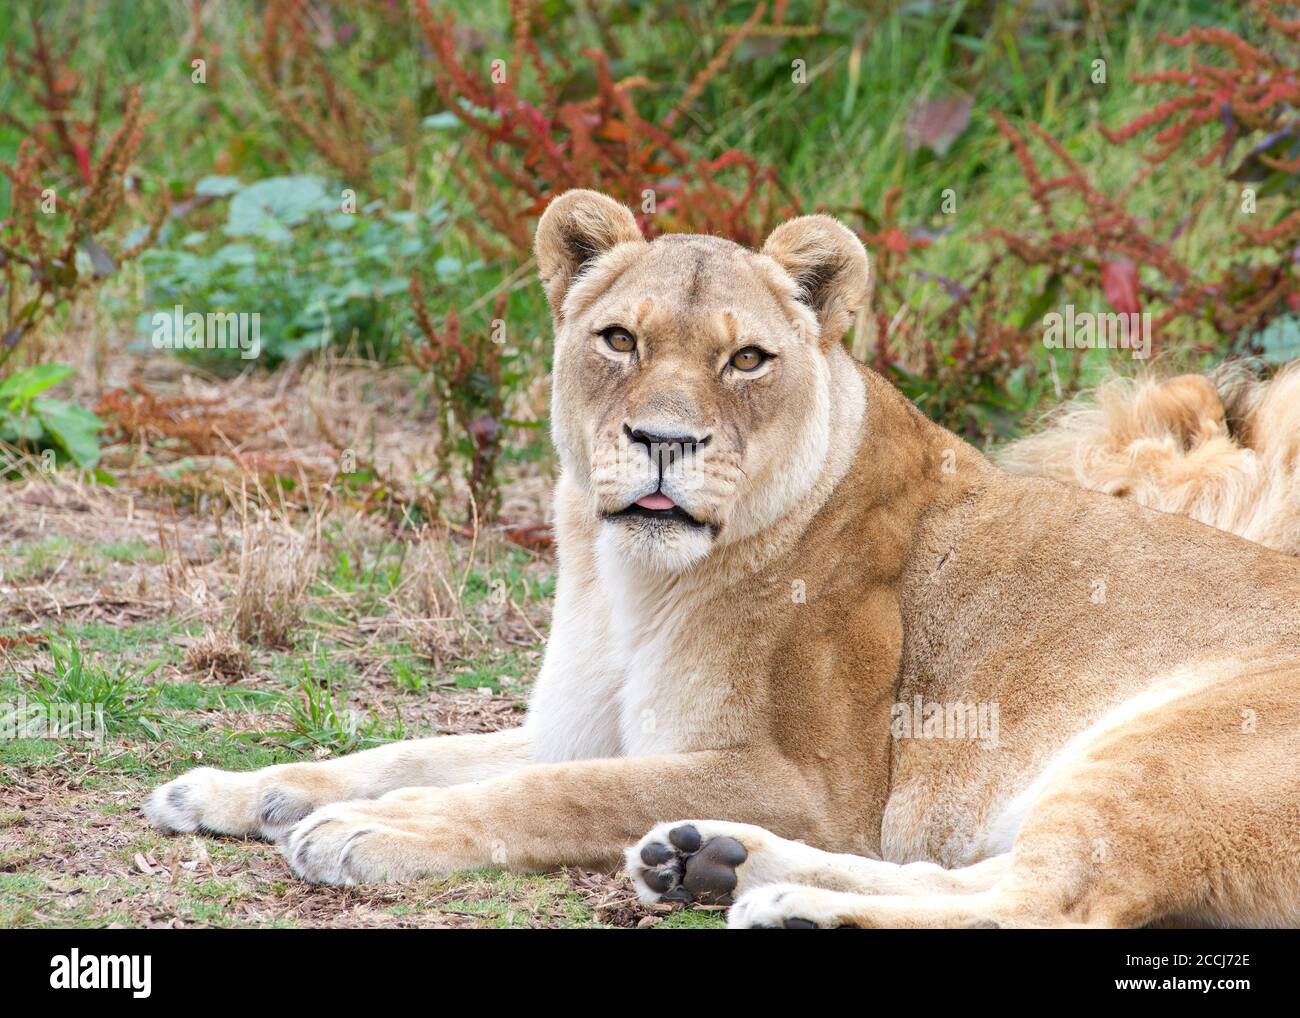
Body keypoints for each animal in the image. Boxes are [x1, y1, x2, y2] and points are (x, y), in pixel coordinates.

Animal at [144, 190, 1300, 928]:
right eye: (618, 339)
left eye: (746, 358)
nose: (665, 441)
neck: (628, 583)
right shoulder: (577, 729)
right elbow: (409, 751)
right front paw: (238, 791)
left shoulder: (812, 779)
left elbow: (544, 796)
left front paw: (358, 831)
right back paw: (711, 863)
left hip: (1160, 748)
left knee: (1051, 904)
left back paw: (791, 908)